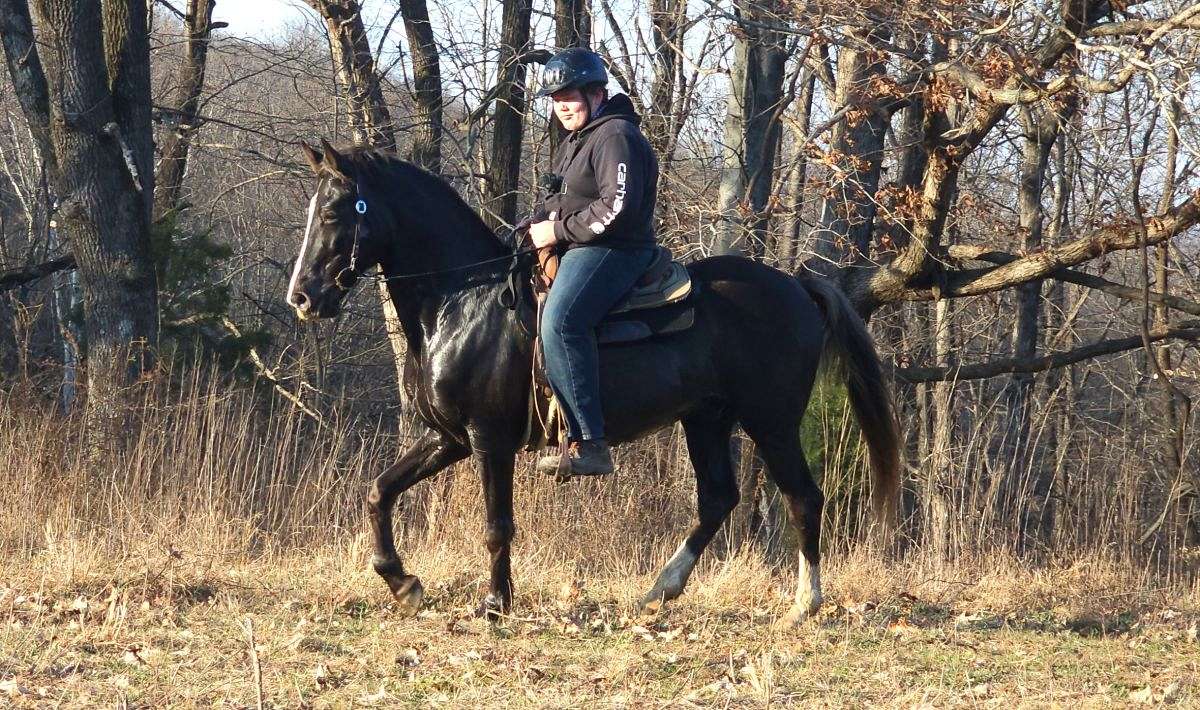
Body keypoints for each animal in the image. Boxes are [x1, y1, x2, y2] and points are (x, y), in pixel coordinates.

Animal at [285, 139, 900, 626]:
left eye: (337, 212)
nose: (303, 298)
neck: (464, 301)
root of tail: (797, 285)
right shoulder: (449, 437)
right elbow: (379, 490)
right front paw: (403, 583)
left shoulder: (488, 438)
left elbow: (496, 524)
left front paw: (495, 604)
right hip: (706, 419)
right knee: (718, 498)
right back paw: (660, 590)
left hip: (770, 422)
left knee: (803, 497)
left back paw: (803, 604)